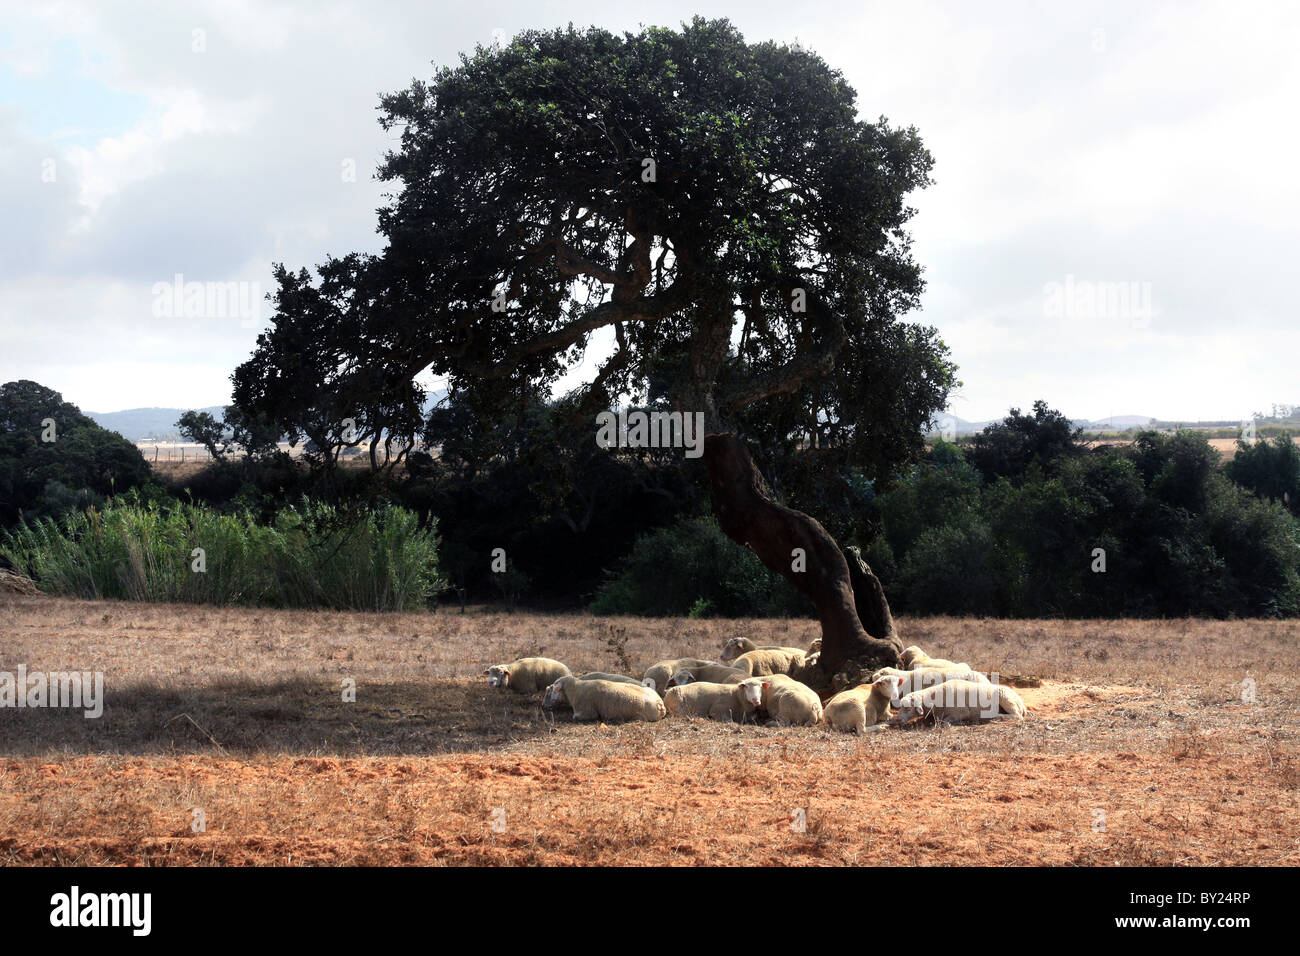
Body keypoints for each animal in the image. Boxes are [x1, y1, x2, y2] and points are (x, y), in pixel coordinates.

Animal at [891, 679, 1027, 726]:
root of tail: (1022, 703)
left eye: (908, 708)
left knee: (1017, 716)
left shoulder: (961, 712)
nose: (898, 720)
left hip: (1005, 698)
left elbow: (944, 722)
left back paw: (996, 718)